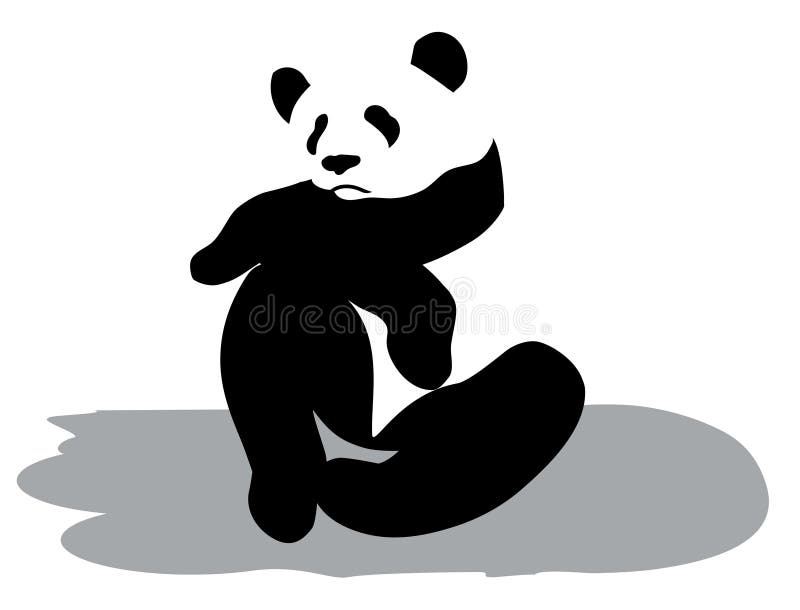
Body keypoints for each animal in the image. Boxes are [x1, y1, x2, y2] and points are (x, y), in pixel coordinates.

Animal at [191, 32, 585, 543]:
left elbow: (386, 261)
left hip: (497, 399)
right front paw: (207, 261)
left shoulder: (446, 199)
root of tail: (376, 432)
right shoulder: (310, 222)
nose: (339, 161)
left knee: (515, 402)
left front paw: (423, 359)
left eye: (380, 117)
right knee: (269, 392)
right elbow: (275, 220)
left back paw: (351, 487)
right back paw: (286, 503)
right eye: (316, 128)